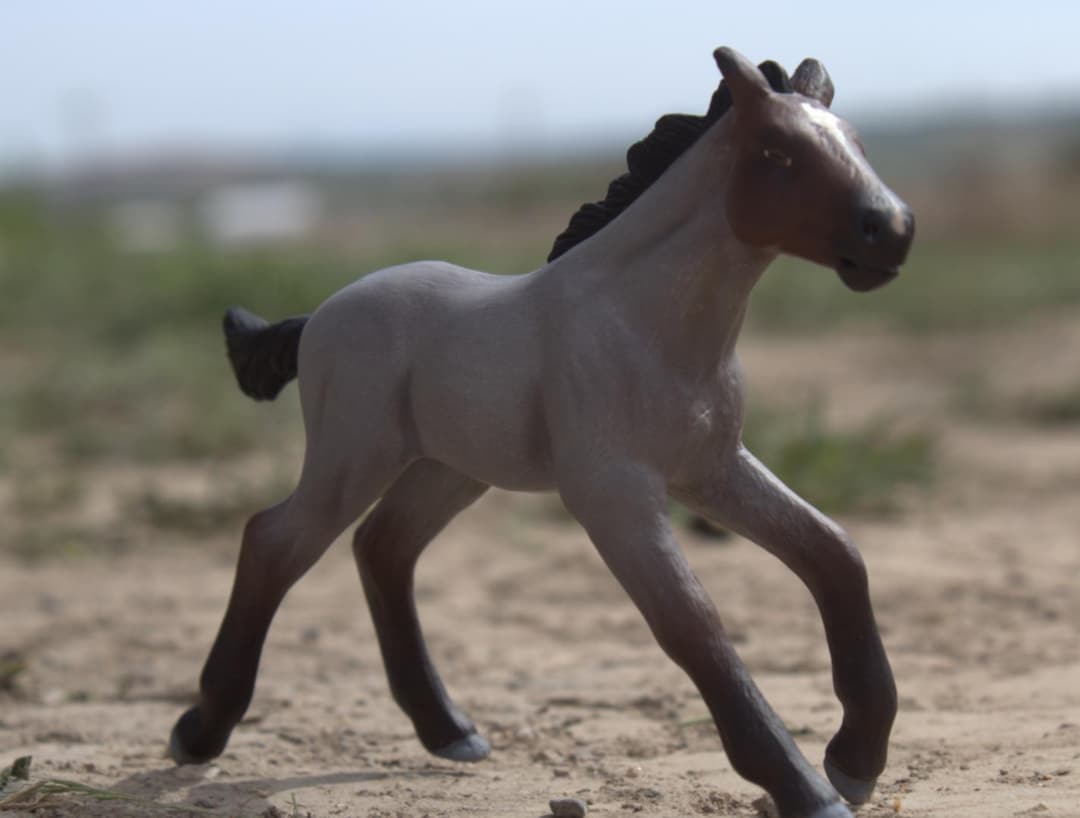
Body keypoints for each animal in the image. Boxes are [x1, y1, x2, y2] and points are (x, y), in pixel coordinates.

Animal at [168, 47, 914, 818]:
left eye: (857, 144)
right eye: (777, 153)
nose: (892, 231)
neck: (645, 325)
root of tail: (318, 316)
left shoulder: (712, 469)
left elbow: (834, 553)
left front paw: (855, 761)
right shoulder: (612, 495)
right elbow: (695, 624)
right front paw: (804, 785)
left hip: (451, 467)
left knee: (383, 547)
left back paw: (448, 730)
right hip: (352, 454)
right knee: (274, 541)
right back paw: (199, 732)